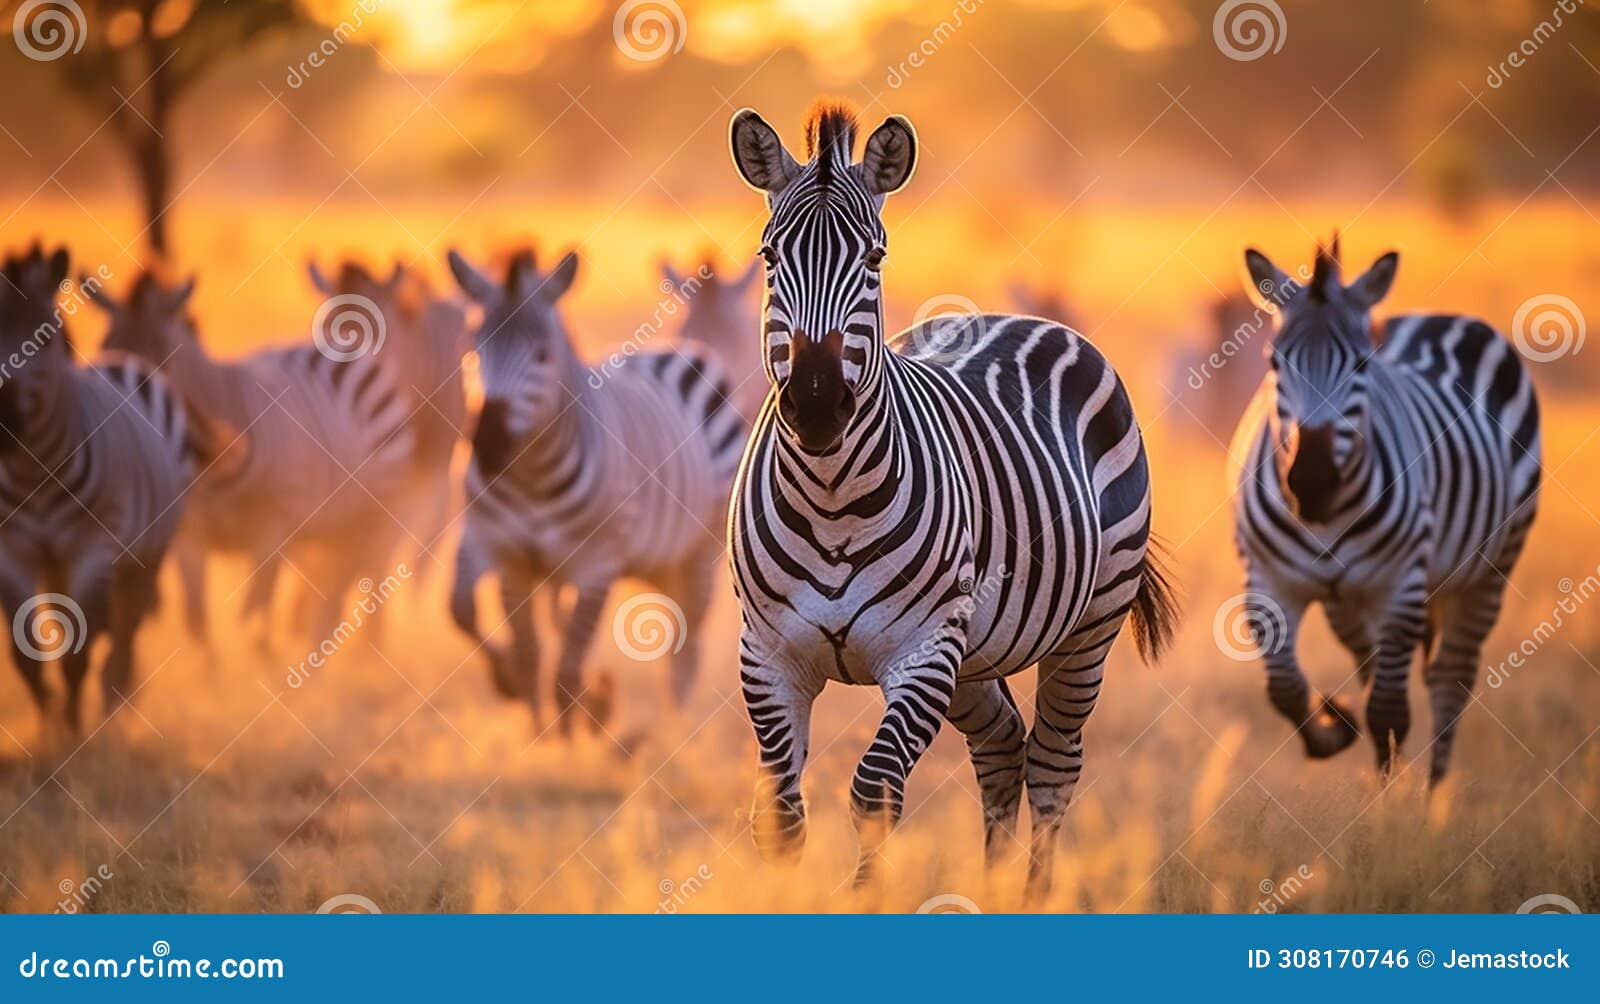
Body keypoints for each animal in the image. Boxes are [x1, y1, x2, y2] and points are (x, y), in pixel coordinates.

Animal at [0, 246, 197, 731]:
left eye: (45, 340)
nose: (4, 421)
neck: (35, 472)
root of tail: (124, 362)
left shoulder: (93, 550)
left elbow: (78, 653)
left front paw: (76, 733)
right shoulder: (12, 553)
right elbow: (27, 657)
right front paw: (50, 730)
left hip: (145, 552)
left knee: (122, 638)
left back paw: (113, 712)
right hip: (59, 562)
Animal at [93, 271, 415, 650]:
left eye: (161, 356)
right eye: (104, 346)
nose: (121, 437)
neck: (212, 473)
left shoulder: (271, 534)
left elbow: (249, 613)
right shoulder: (190, 537)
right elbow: (197, 621)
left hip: (371, 517)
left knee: (340, 596)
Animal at [446, 246, 745, 732]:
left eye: (543, 355)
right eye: (471, 348)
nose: (488, 445)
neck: (531, 478)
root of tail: (674, 350)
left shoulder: (595, 566)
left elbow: (565, 672)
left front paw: (568, 743)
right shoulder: (510, 557)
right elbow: (529, 657)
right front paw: (538, 734)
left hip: (701, 552)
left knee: (687, 648)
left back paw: (675, 729)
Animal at [726, 102, 1177, 896]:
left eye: (874, 261)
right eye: (771, 259)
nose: (816, 406)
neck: (830, 493)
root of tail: (1007, 314)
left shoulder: (923, 650)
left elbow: (874, 793)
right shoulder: (768, 655)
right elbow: (779, 818)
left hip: (1089, 623)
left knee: (1054, 765)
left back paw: (1030, 900)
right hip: (975, 655)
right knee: (1001, 746)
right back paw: (993, 895)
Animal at [1229, 237, 1540, 786]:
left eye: (1360, 367)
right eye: (1273, 364)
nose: (1311, 483)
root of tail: (1437, 316)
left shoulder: (1401, 588)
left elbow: (1389, 712)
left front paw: (1391, 804)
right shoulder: (1268, 583)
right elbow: (1285, 689)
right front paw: (1336, 727)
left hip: (1490, 570)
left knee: (1450, 678)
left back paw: (1435, 797)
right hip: (1348, 603)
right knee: (1372, 667)